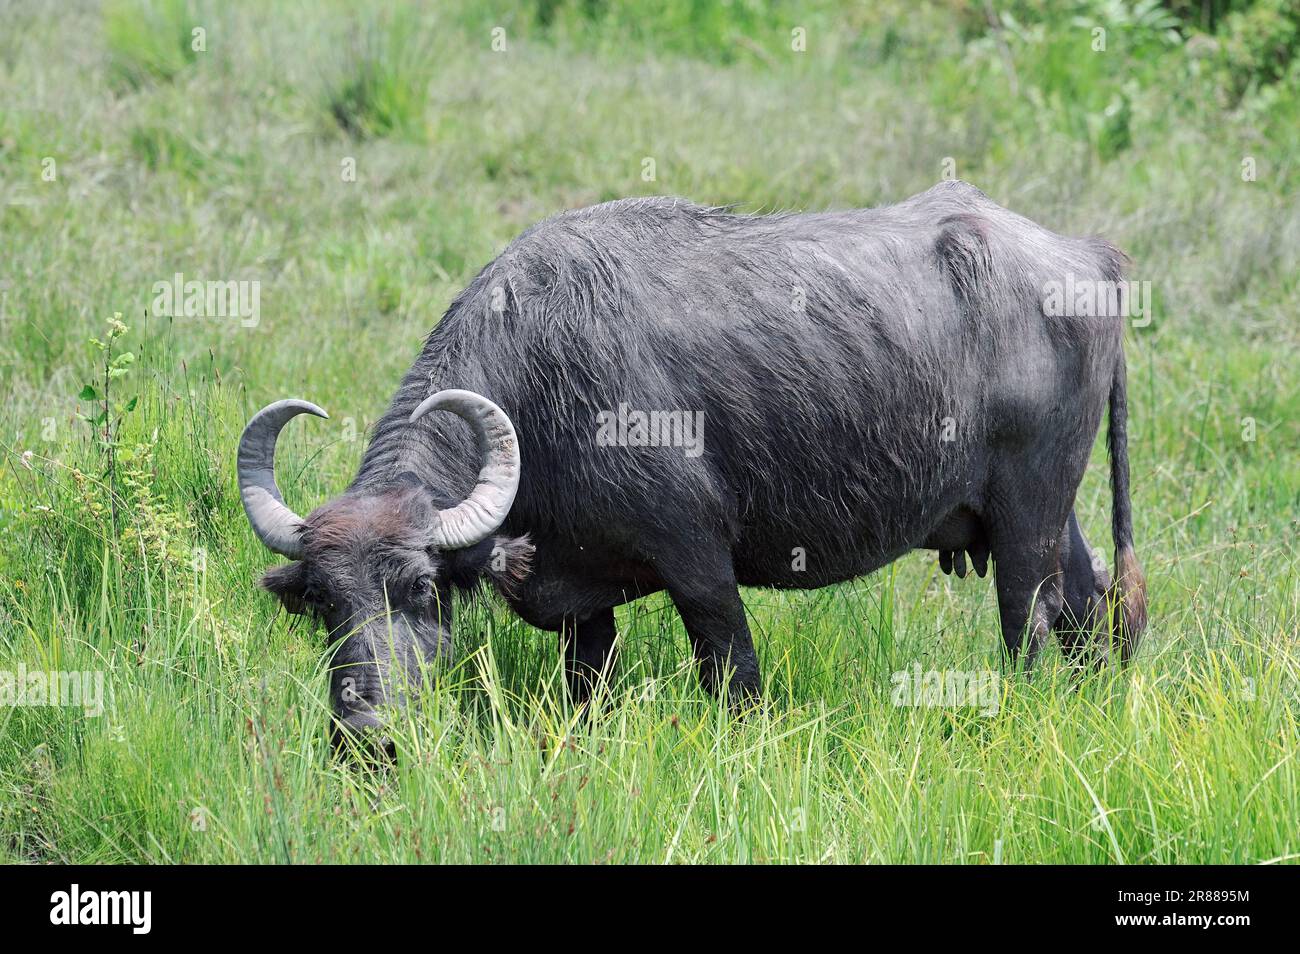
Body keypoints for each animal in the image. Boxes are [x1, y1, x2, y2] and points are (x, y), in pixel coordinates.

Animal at [237, 180, 1147, 748]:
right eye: (322, 605)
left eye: (422, 590)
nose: (367, 736)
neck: (545, 385)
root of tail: (1090, 259)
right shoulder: (582, 604)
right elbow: (586, 691)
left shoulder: (698, 562)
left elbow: (734, 678)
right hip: (1051, 514)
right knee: (1091, 612)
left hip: (1027, 518)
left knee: (1030, 629)